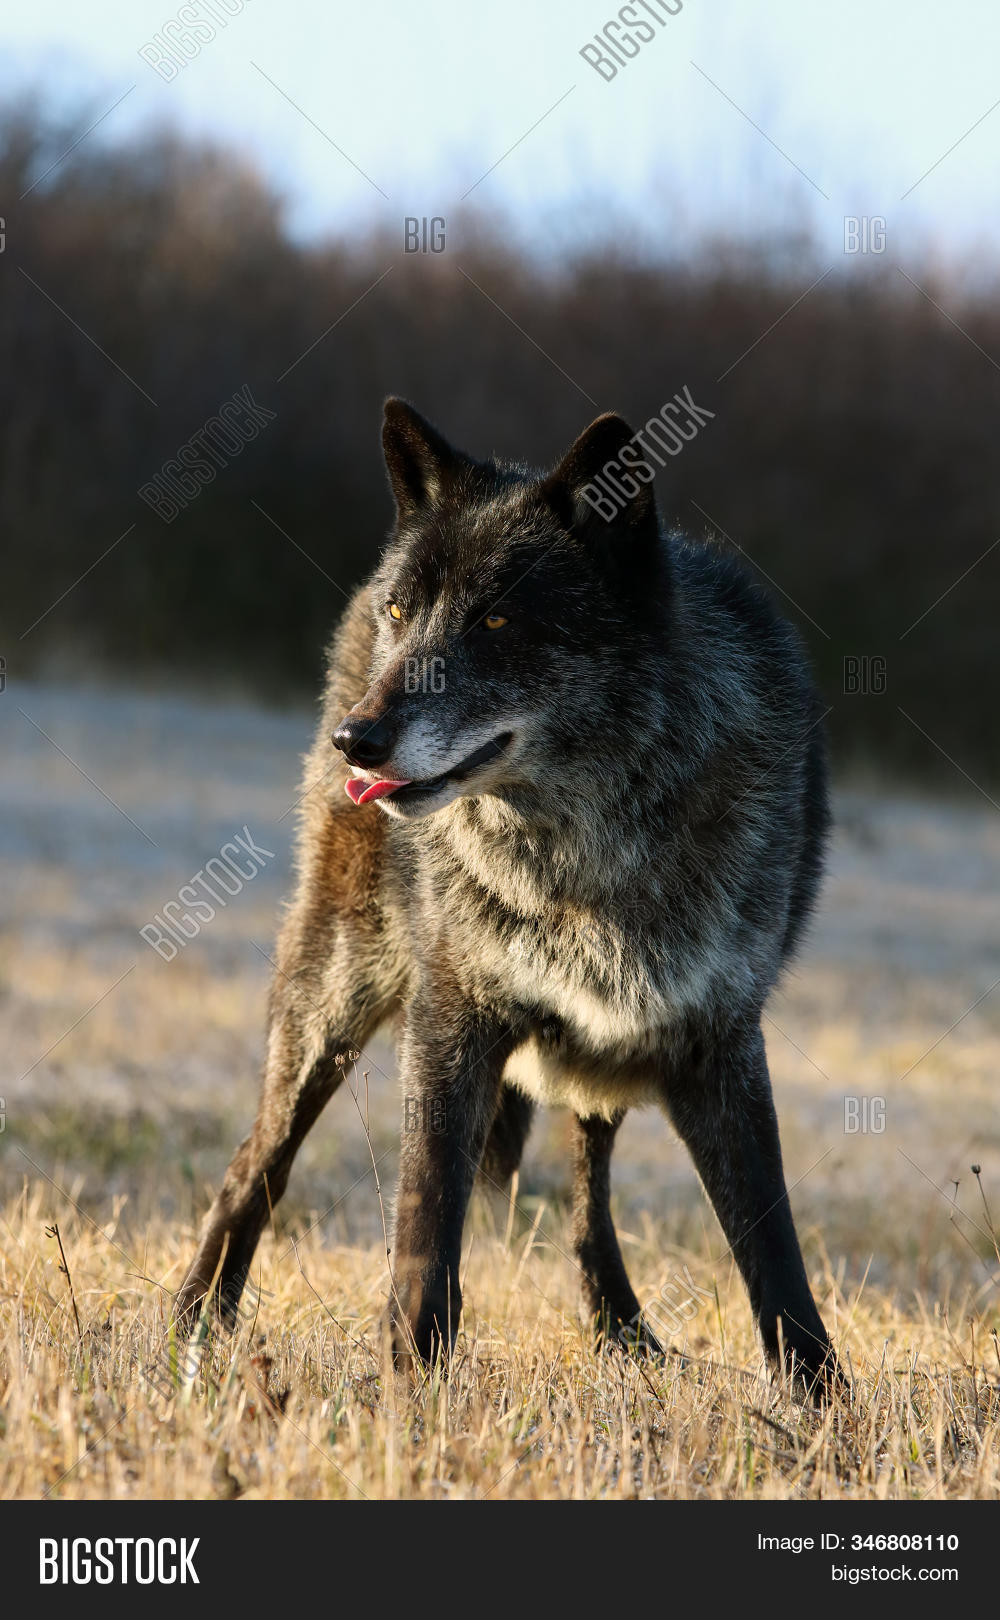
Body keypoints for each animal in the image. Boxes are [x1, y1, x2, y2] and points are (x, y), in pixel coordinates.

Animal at [175, 398, 837, 1393]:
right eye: (406, 611)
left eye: (493, 621)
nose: (355, 741)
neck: (577, 862)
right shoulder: (452, 1018)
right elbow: (427, 1220)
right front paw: (410, 1376)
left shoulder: (716, 1041)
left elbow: (772, 1246)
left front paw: (822, 1397)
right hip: (331, 999)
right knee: (257, 1160)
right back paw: (192, 1322)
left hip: (598, 1058)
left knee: (585, 1190)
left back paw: (622, 1333)